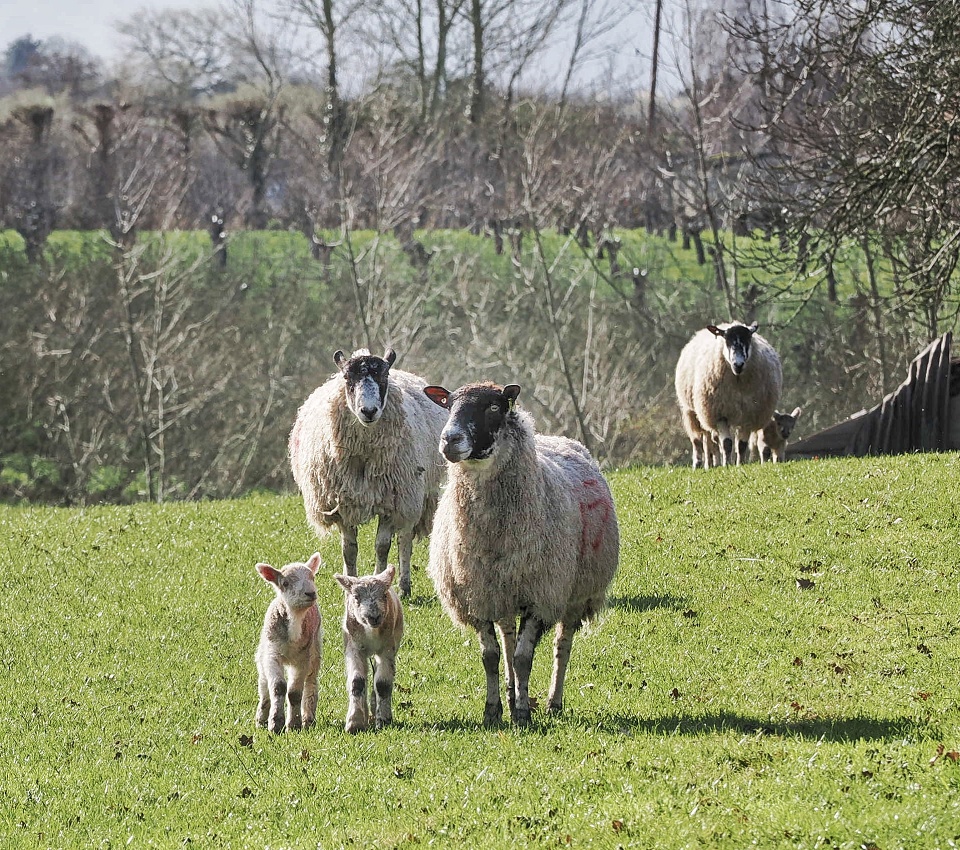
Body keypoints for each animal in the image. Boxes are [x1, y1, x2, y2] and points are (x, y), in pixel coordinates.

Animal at [254, 552, 323, 733]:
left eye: (312, 577)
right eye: (285, 583)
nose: (310, 593)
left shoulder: (303, 658)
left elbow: (294, 693)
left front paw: (294, 725)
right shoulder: (272, 654)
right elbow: (278, 687)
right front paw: (275, 723)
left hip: (315, 648)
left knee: (311, 681)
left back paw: (308, 718)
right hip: (262, 653)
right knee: (264, 685)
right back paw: (261, 717)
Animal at [288, 347, 449, 598]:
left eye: (383, 377)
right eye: (347, 379)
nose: (369, 411)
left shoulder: (391, 502)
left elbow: (382, 547)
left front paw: (380, 580)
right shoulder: (343, 503)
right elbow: (349, 550)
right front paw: (348, 587)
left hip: (410, 496)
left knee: (405, 539)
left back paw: (405, 586)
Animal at [334, 563, 405, 733]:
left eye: (384, 595)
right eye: (356, 597)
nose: (374, 616)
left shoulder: (388, 648)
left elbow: (383, 684)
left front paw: (384, 720)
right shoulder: (354, 648)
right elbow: (357, 681)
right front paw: (355, 722)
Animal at [423, 381, 620, 727]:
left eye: (494, 407)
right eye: (448, 405)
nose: (450, 439)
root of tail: (559, 438)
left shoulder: (540, 597)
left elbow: (524, 657)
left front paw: (524, 713)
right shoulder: (479, 598)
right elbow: (491, 657)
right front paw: (493, 711)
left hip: (574, 594)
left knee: (561, 645)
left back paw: (553, 702)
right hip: (503, 593)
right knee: (507, 639)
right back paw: (512, 694)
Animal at [675, 321, 782, 467]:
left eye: (748, 338)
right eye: (726, 340)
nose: (738, 364)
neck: (738, 380)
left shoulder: (748, 414)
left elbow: (741, 445)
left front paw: (739, 464)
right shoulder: (719, 413)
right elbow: (726, 443)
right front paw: (726, 465)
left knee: (712, 440)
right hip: (693, 410)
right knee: (699, 440)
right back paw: (700, 464)